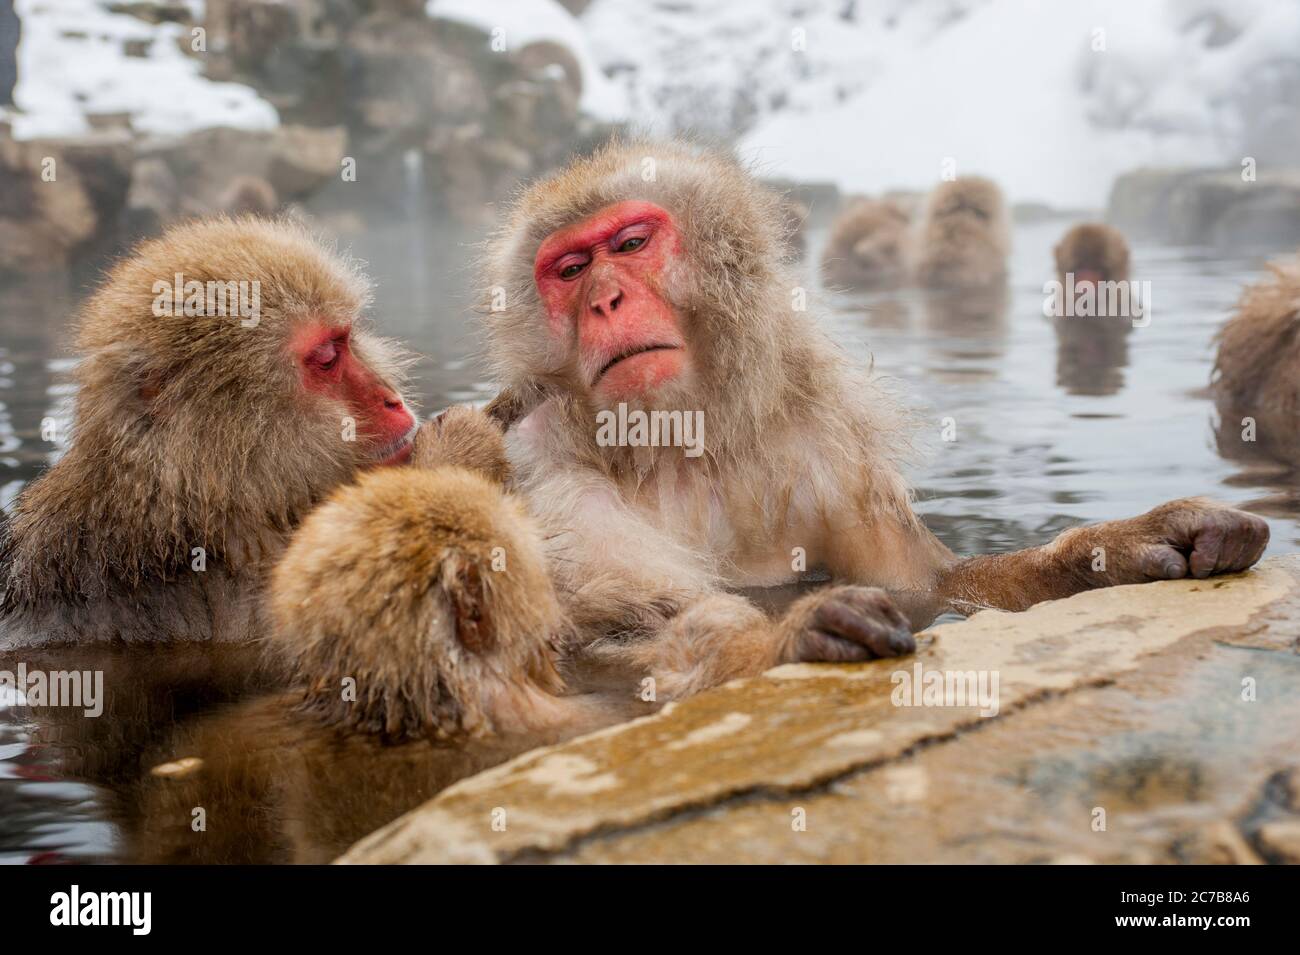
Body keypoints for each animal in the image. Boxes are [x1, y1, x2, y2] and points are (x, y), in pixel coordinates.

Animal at [473, 140, 1268, 698]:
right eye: (570, 270)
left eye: (630, 244)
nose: (603, 300)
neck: (677, 444)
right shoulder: (542, 471)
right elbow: (614, 635)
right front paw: (789, 640)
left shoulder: (827, 448)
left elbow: (928, 585)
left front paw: (1115, 546)